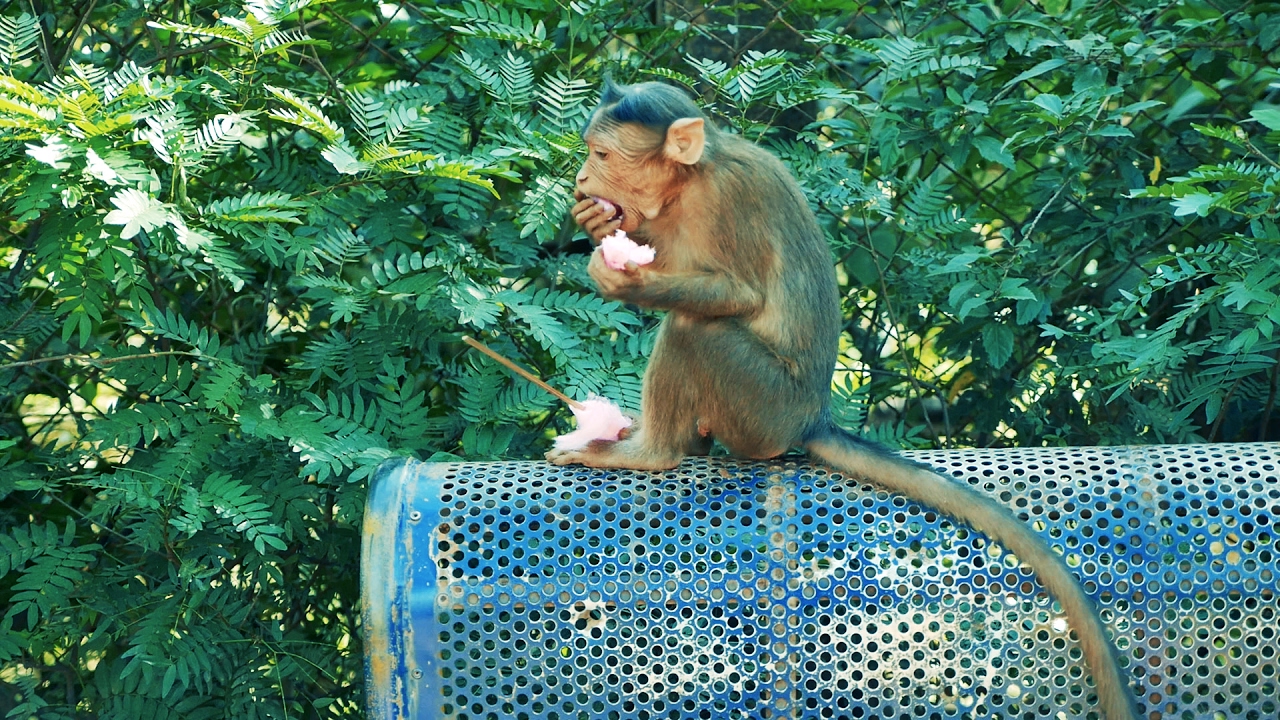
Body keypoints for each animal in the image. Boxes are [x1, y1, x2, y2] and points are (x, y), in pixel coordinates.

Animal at [543, 78, 1139, 720]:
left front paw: (627, 277)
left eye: (603, 154)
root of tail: (811, 418)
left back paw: (649, 453)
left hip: (762, 407)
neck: (690, 180)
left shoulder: (729, 197)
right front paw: (600, 228)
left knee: (695, 330)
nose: (583, 179)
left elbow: (738, 294)